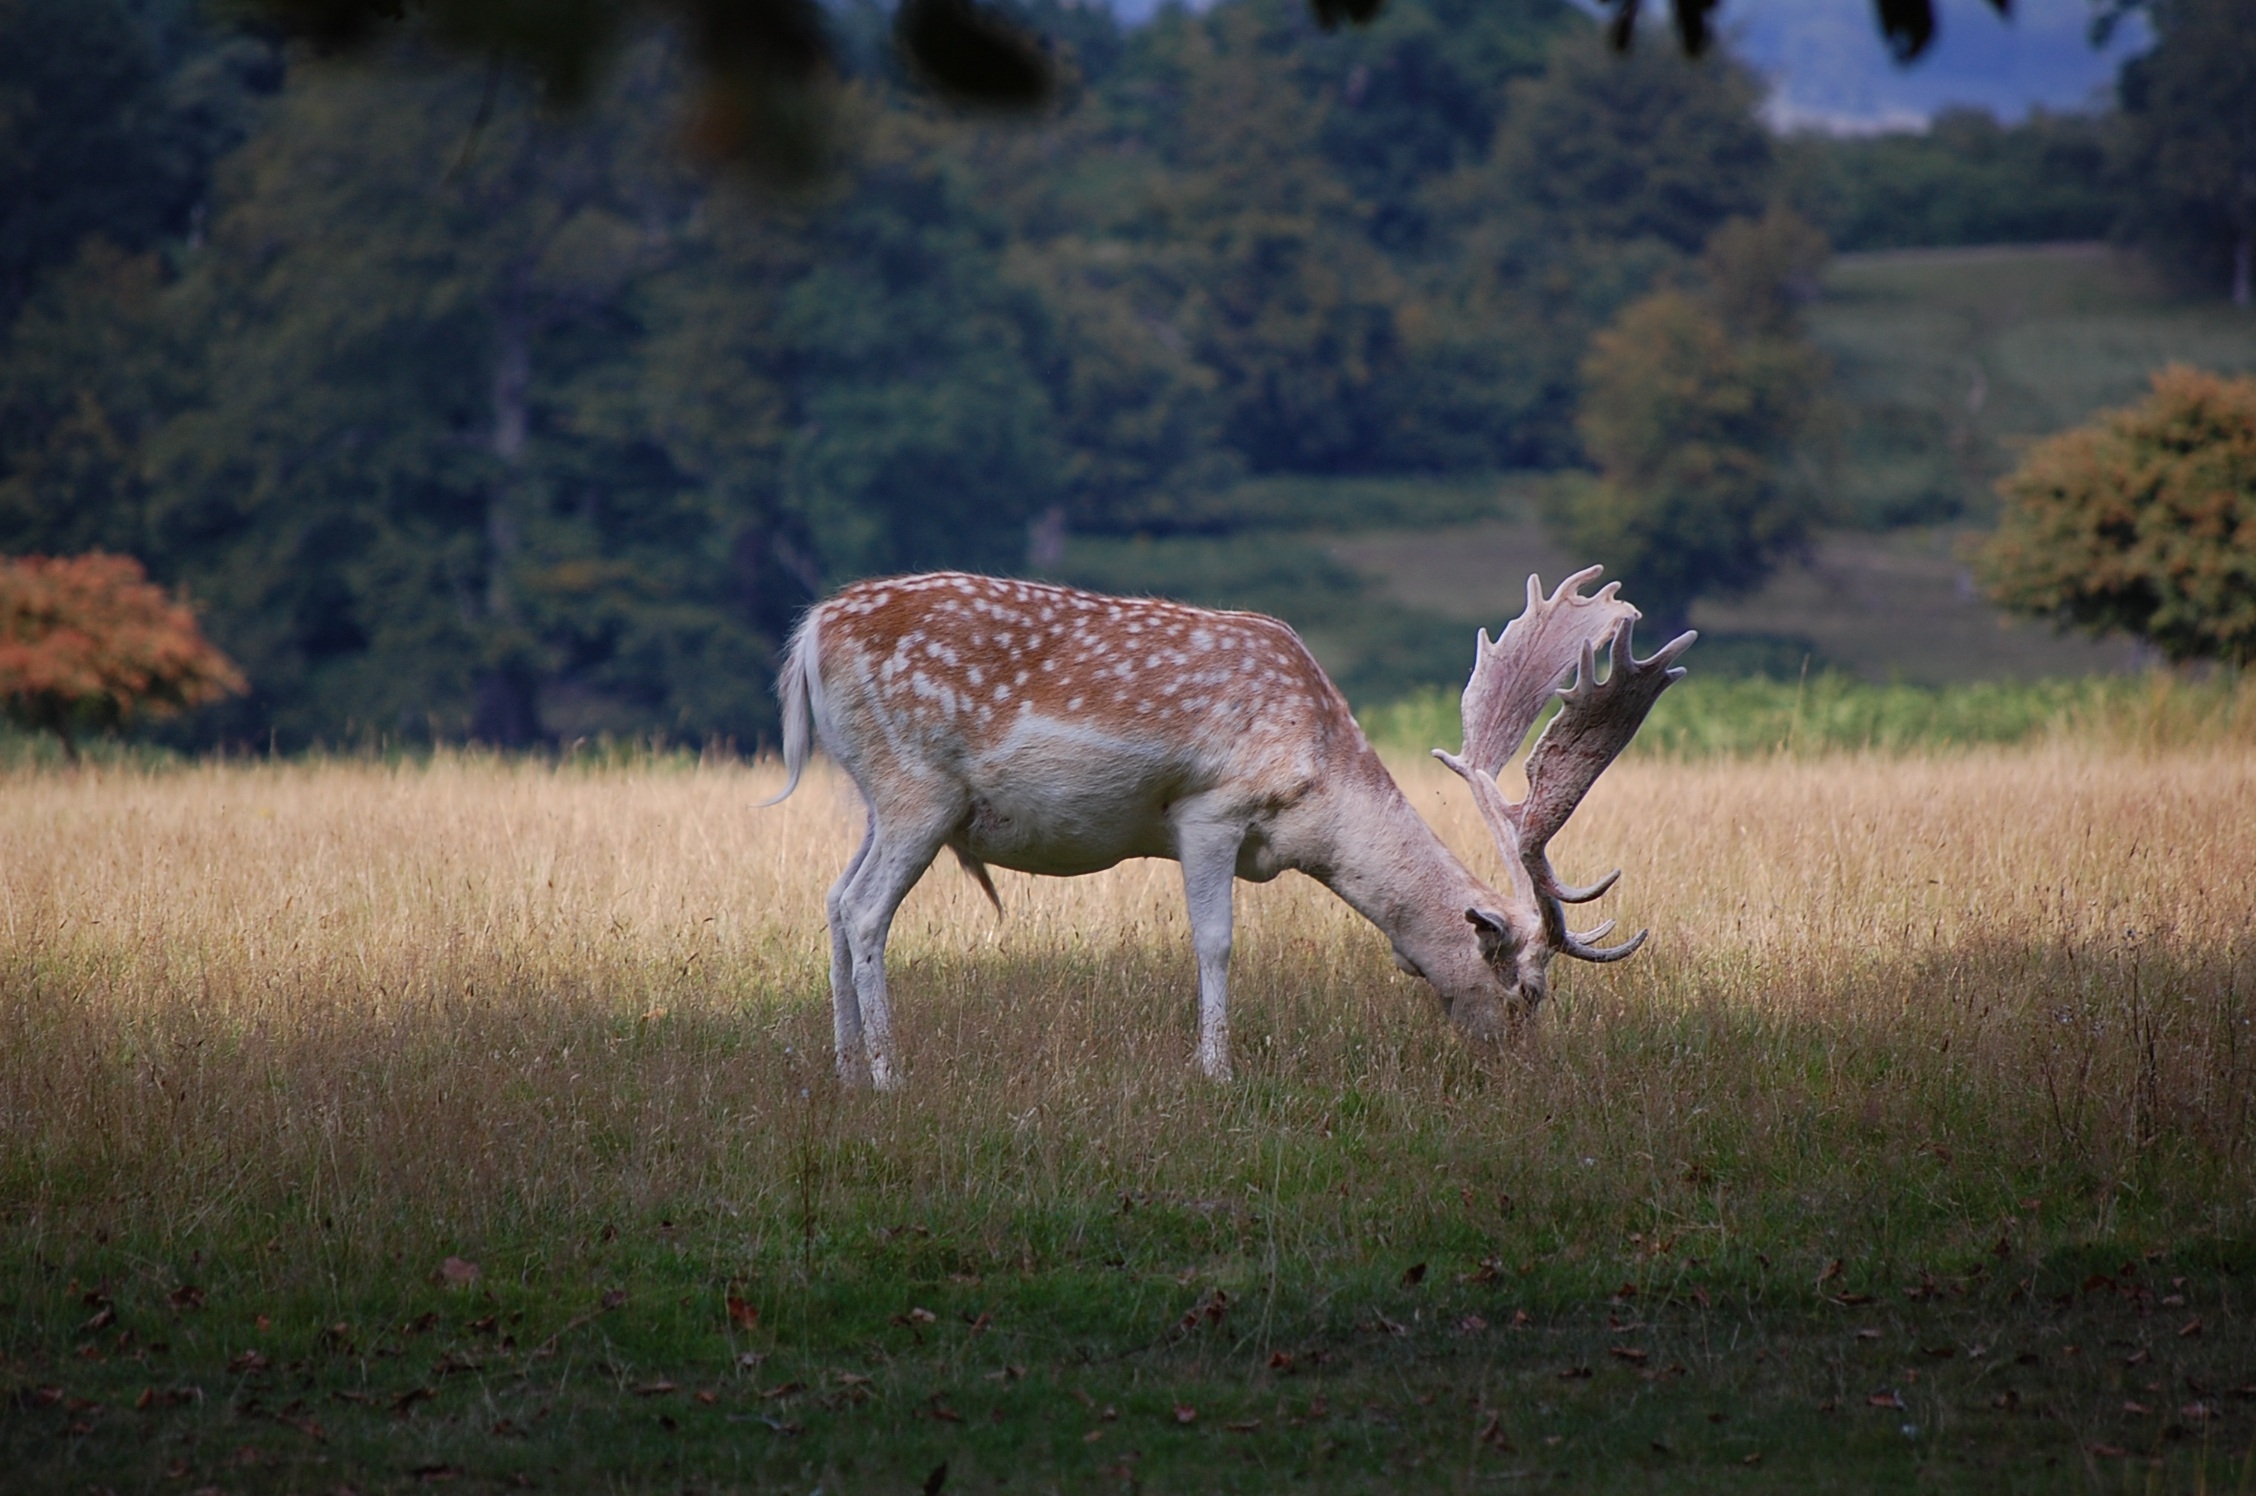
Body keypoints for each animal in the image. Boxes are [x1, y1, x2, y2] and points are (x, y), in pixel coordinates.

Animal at [767, 564, 1687, 1087]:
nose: (1527, 1075)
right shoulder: (1210, 807)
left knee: (832, 899)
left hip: (879, 795)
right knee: (865, 912)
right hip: (916, 786)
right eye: (1529, 990)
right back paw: (888, 1076)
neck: (1319, 799)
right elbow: (1215, 940)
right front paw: (1217, 1072)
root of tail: (810, 635)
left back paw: (844, 1072)